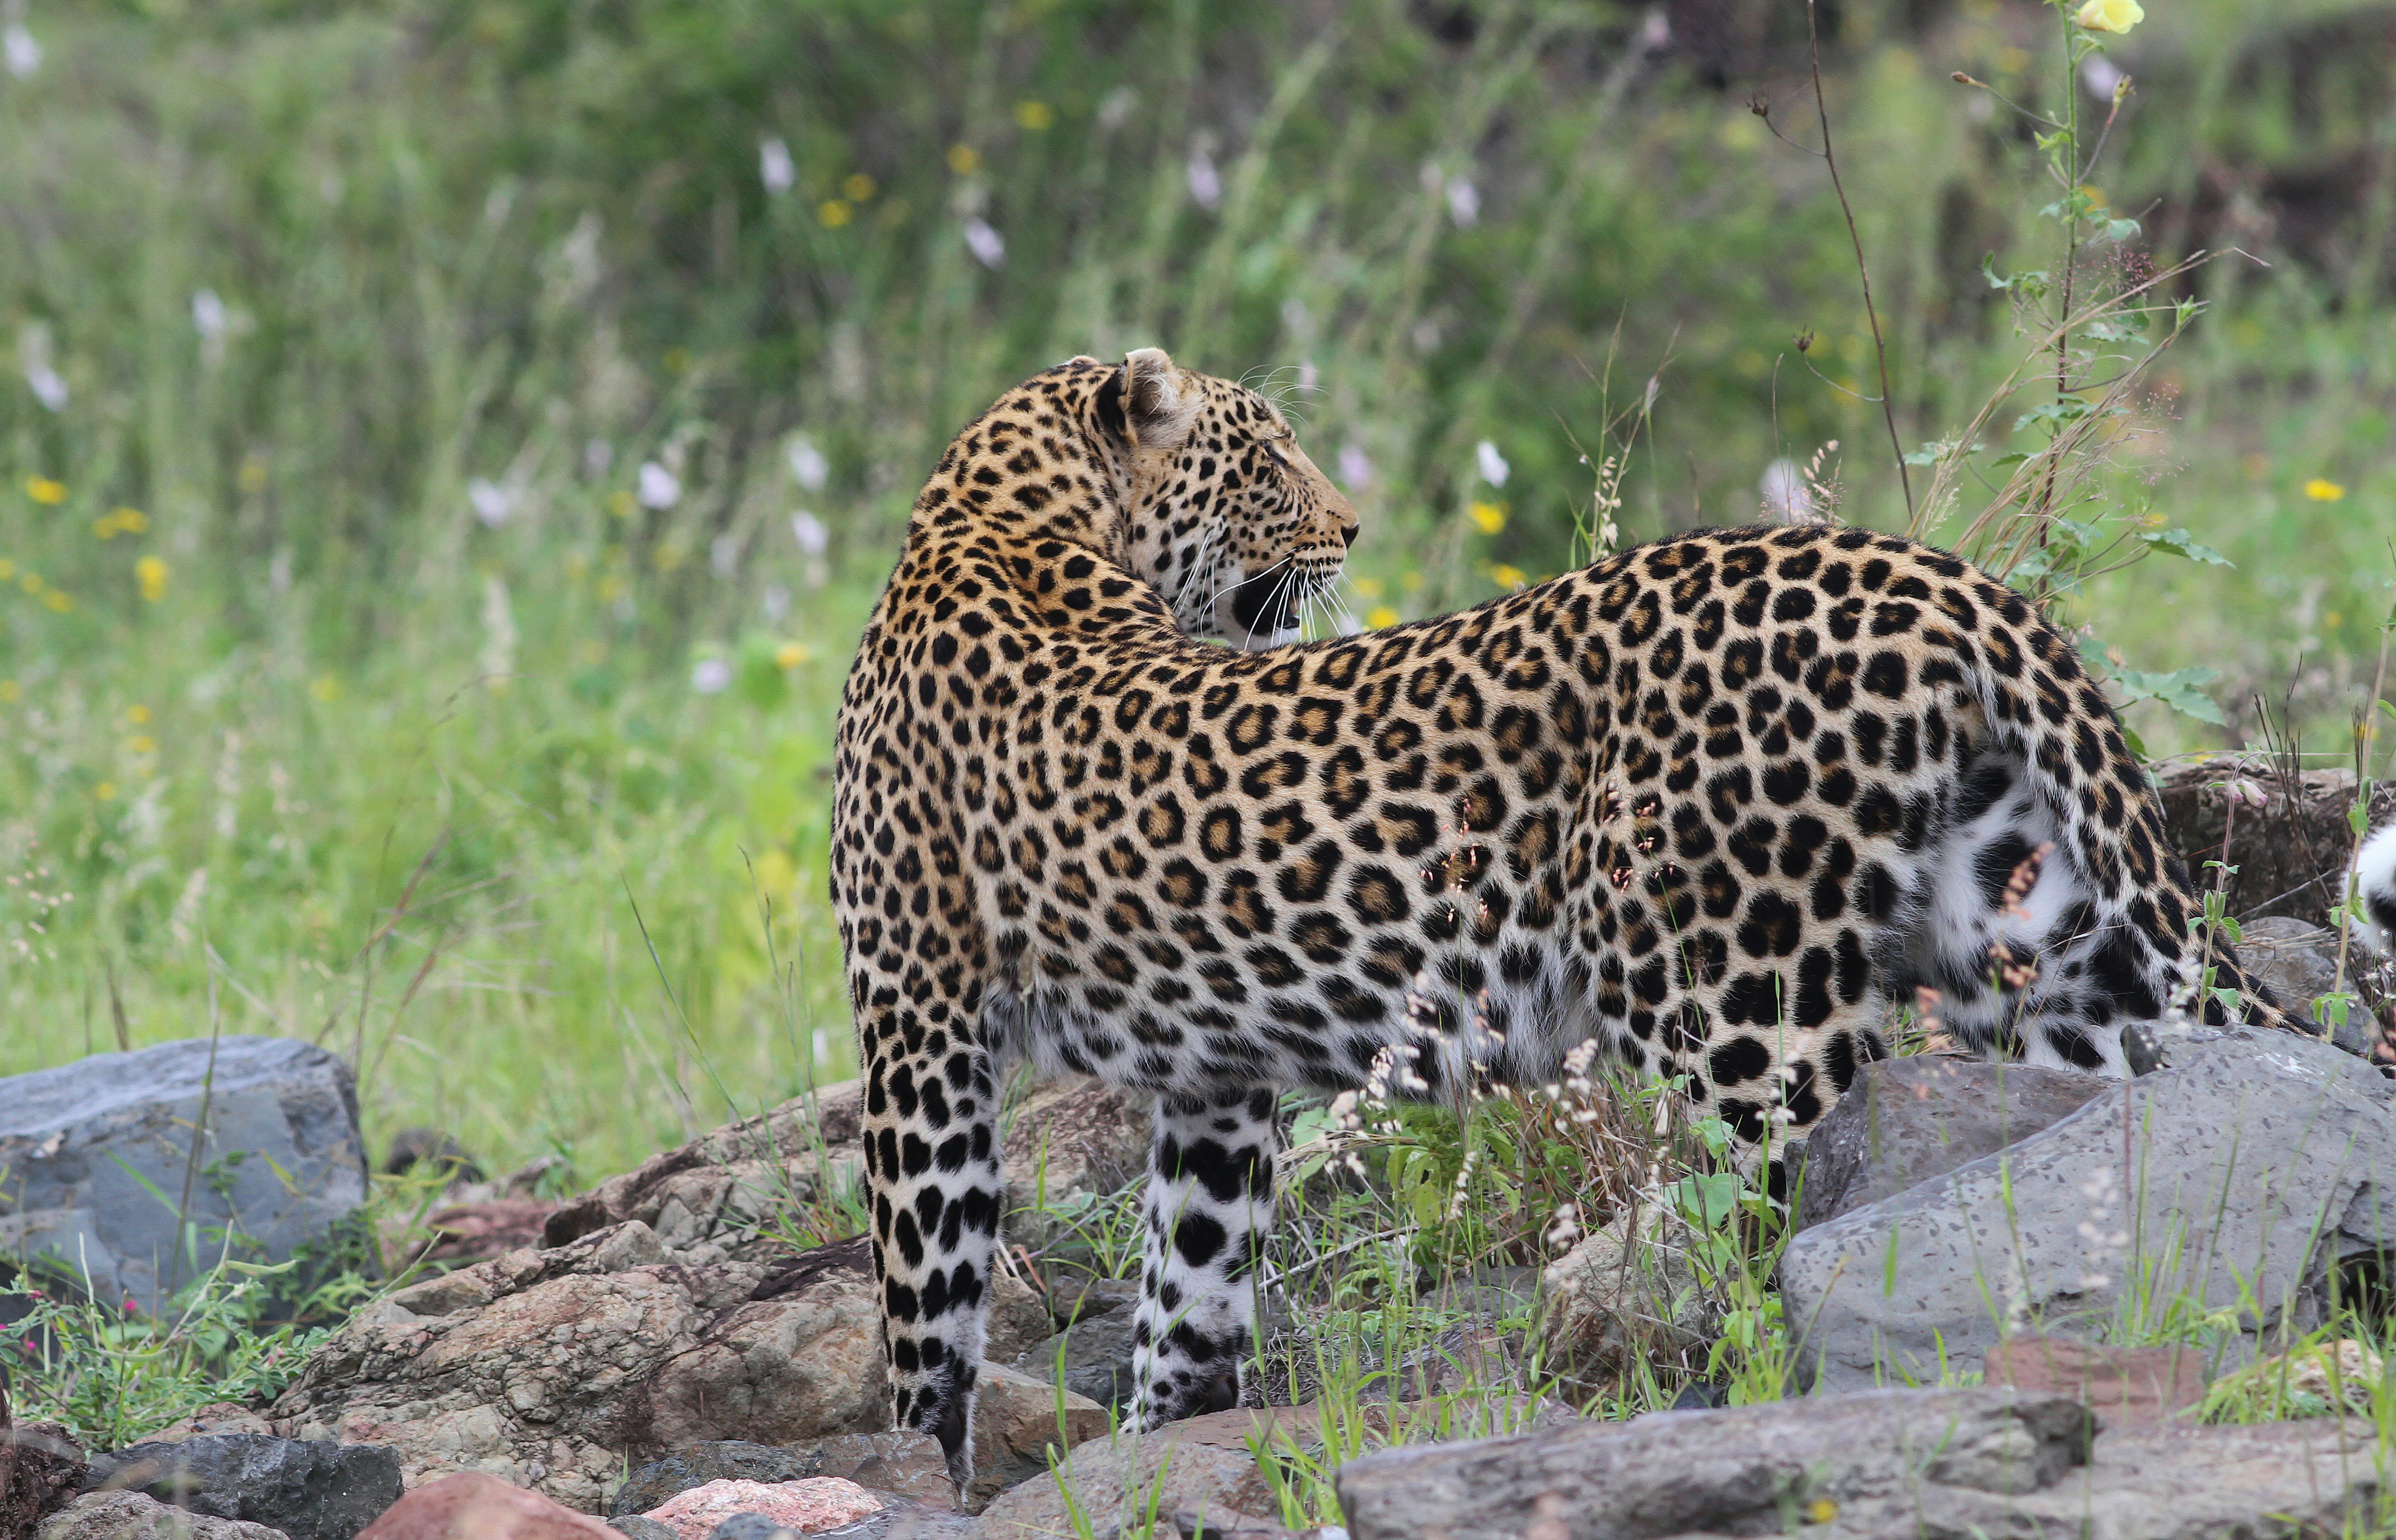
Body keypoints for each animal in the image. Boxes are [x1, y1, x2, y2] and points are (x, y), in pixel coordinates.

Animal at [828, 347, 2302, 1486]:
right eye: (1265, 458)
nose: (1350, 529)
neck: (1011, 523)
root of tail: (1921, 571)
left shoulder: (921, 1039)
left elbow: (928, 1317)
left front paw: (924, 1474)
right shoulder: (1206, 1080)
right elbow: (1182, 1294)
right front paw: (1148, 1451)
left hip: (1738, 1005)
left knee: (1817, 1207)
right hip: (2041, 935)